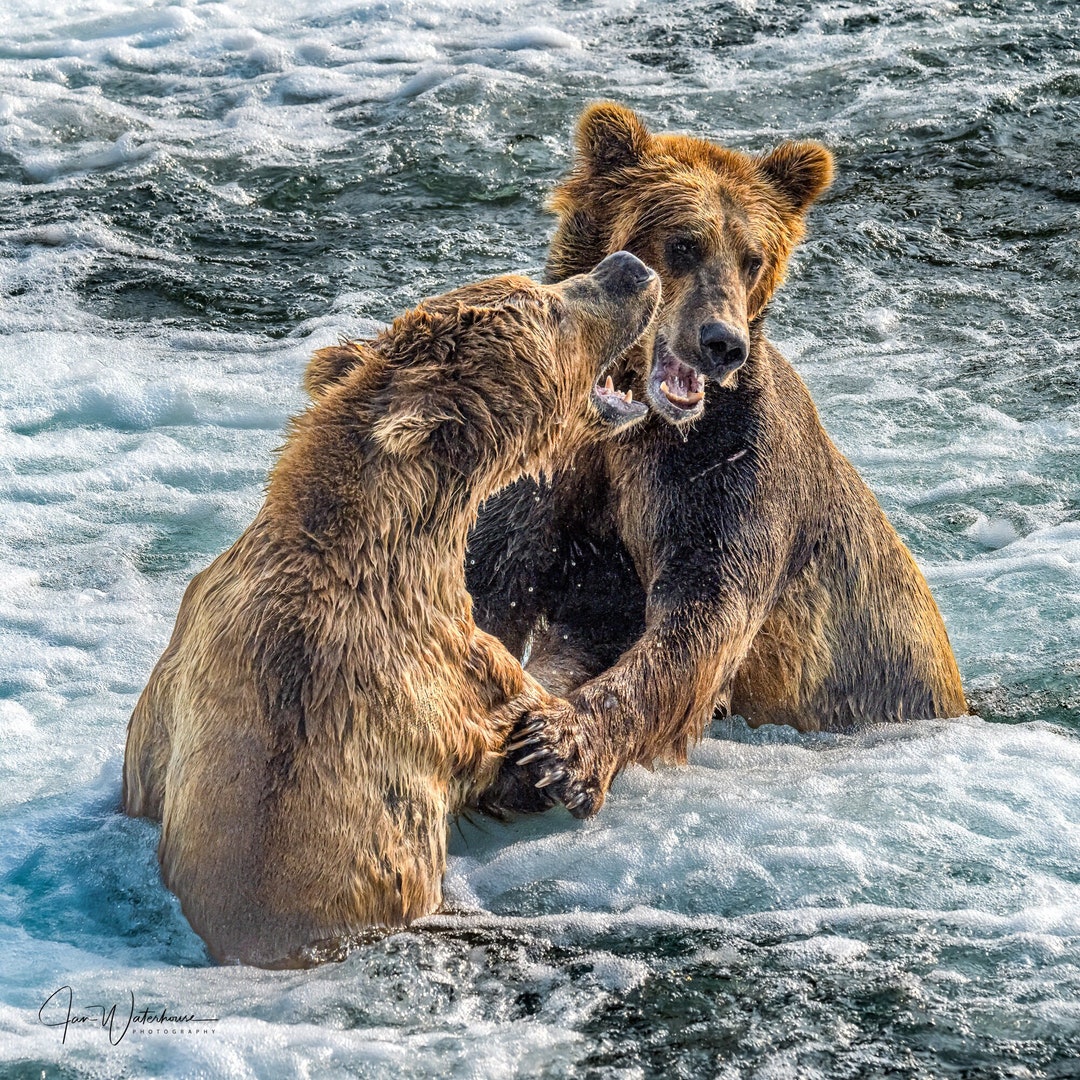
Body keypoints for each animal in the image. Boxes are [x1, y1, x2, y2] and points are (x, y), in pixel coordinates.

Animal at [122, 251, 661, 967]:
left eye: (535, 287)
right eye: (547, 306)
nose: (627, 267)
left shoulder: (175, 677)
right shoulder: (451, 674)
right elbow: (519, 739)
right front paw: (568, 762)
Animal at [461, 102, 968, 818]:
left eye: (753, 258)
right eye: (683, 243)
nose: (721, 343)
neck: (632, 423)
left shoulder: (725, 470)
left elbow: (701, 614)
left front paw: (559, 749)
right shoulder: (550, 477)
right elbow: (495, 582)